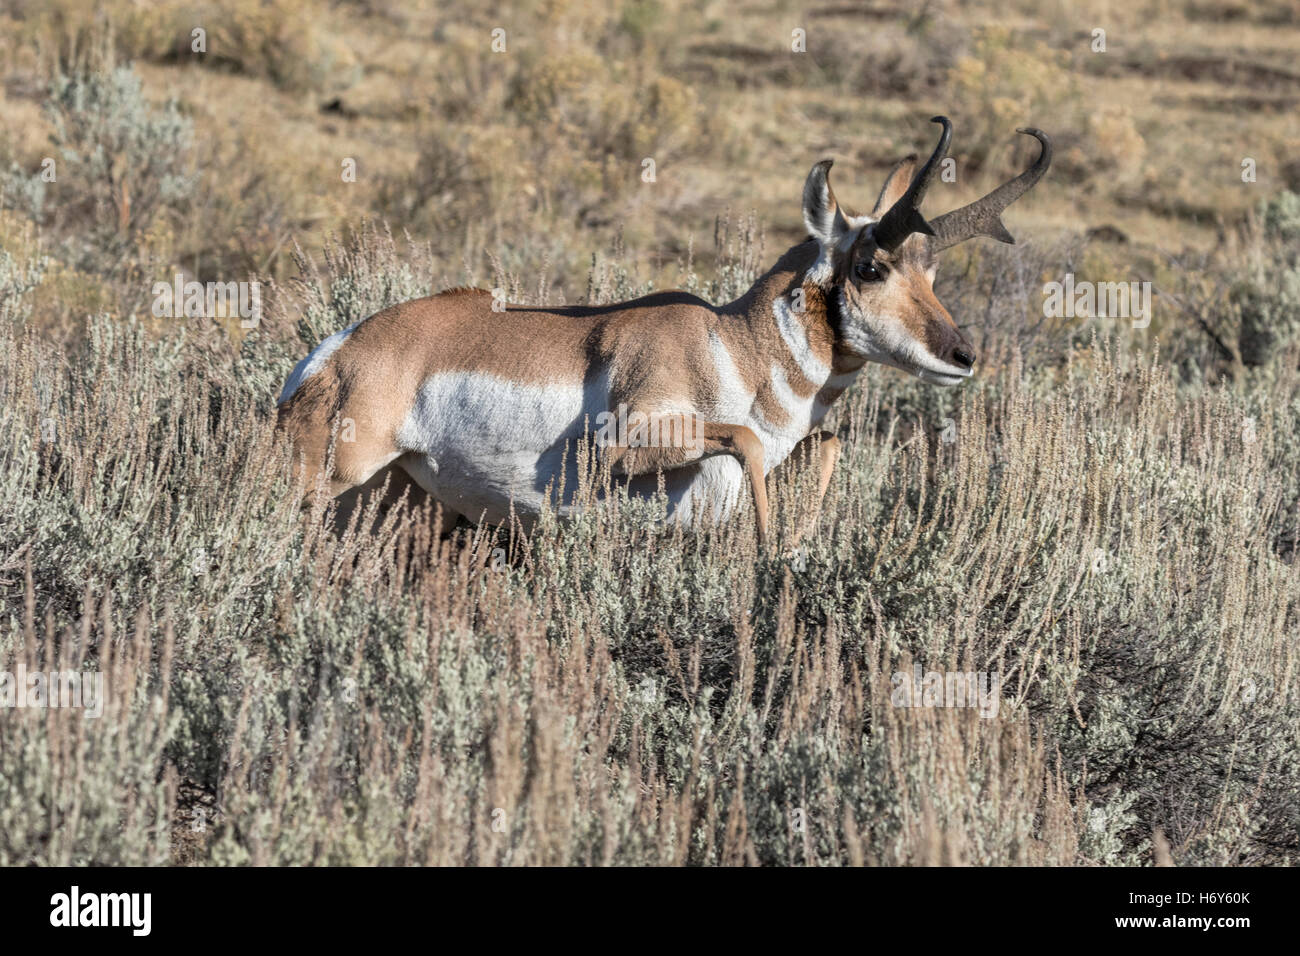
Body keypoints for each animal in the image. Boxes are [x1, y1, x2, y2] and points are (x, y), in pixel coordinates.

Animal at [276, 116, 1051, 546]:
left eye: (931, 269)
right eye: (869, 265)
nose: (963, 355)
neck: (735, 345)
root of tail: (331, 354)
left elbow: (826, 444)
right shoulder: (629, 441)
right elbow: (746, 442)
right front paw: (771, 549)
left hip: (394, 500)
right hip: (324, 483)